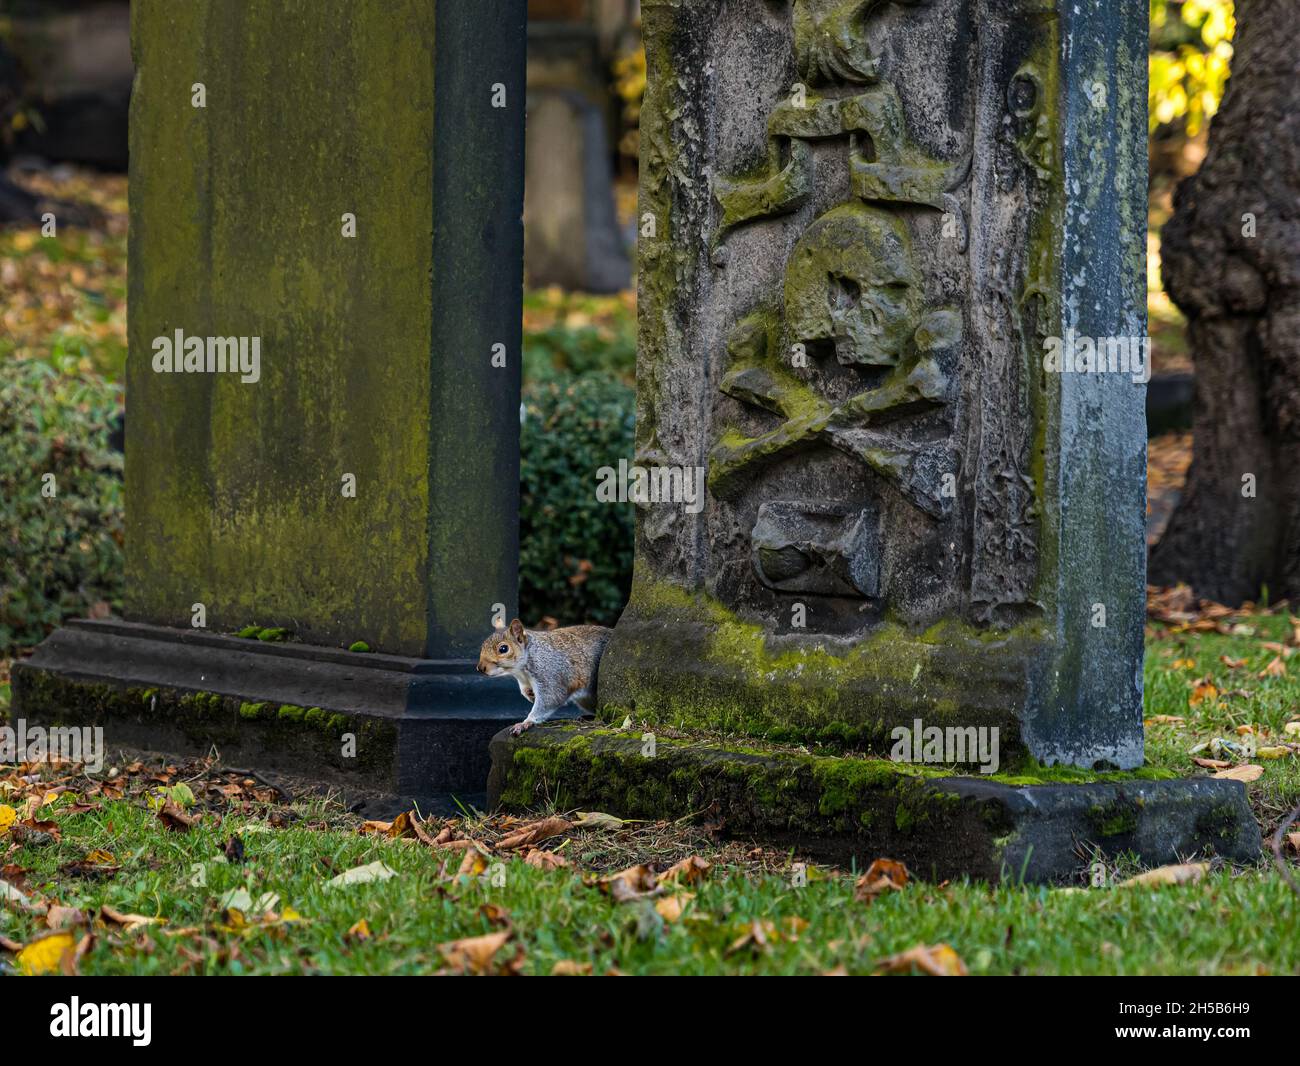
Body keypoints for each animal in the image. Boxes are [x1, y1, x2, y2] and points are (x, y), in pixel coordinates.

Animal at [477, 618, 613, 736]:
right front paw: (529, 694)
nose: (480, 668)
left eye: (503, 648)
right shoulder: (524, 681)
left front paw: (526, 722)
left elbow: (552, 698)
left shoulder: (549, 673)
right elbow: (526, 690)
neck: (521, 671)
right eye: (482, 645)